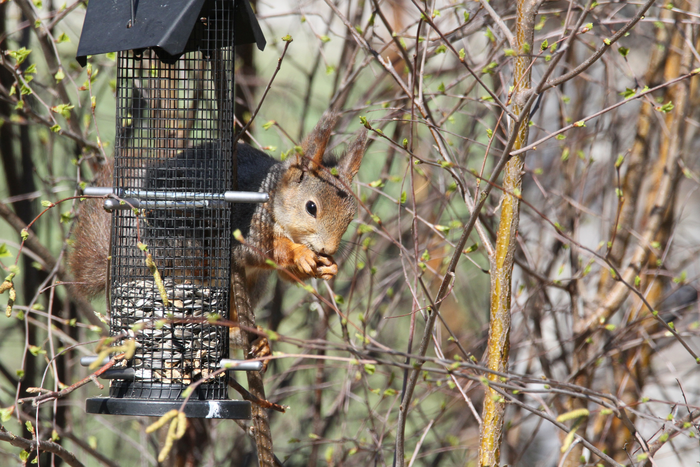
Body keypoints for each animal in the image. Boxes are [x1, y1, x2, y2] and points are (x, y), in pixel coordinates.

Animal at [68, 113, 366, 308]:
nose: (328, 249)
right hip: (177, 245)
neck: (274, 200)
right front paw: (300, 253)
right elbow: (261, 251)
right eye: (311, 207)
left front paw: (329, 267)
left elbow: (286, 273)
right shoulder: (246, 224)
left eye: (351, 217)